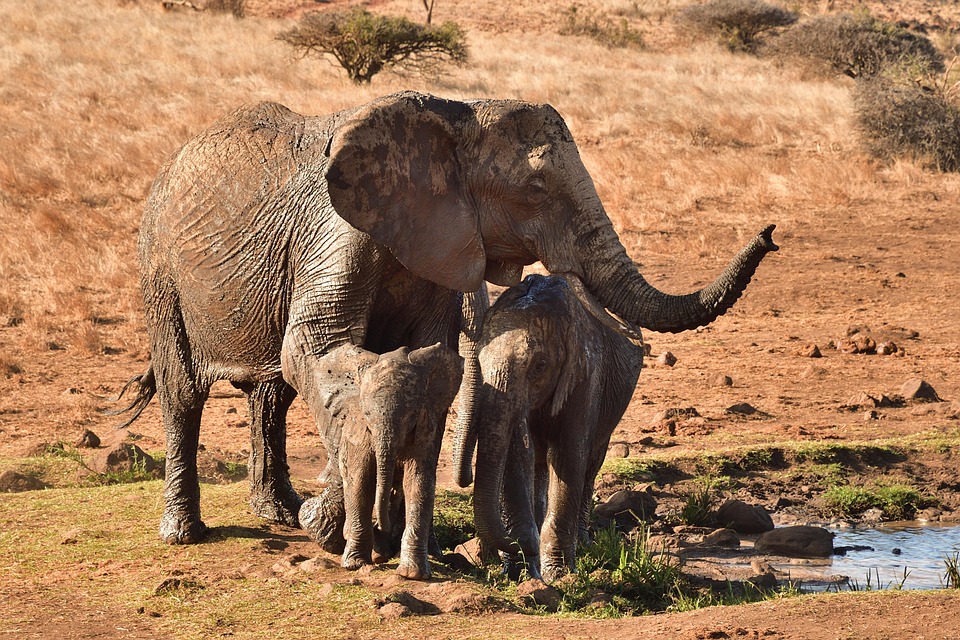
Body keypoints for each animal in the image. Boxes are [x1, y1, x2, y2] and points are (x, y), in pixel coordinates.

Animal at [111, 90, 777, 548]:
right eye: (537, 189)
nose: (770, 232)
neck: (452, 118)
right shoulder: (337, 231)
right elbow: (318, 350)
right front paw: (329, 528)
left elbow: (429, 358)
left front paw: (377, 533)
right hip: (157, 266)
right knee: (183, 391)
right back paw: (186, 532)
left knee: (270, 394)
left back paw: (274, 512)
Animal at [303, 343, 462, 579]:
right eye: (367, 413)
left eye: (410, 414)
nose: (381, 526)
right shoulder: (360, 432)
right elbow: (360, 481)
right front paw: (354, 565)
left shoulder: (424, 430)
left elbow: (418, 483)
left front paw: (412, 574)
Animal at [458, 274, 645, 581]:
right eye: (480, 362)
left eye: (540, 365)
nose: (525, 544)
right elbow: (516, 459)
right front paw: (520, 573)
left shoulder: (586, 373)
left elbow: (568, 457)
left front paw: (559, 574)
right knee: (538, 466)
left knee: (591, 463)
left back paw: (584, 543)